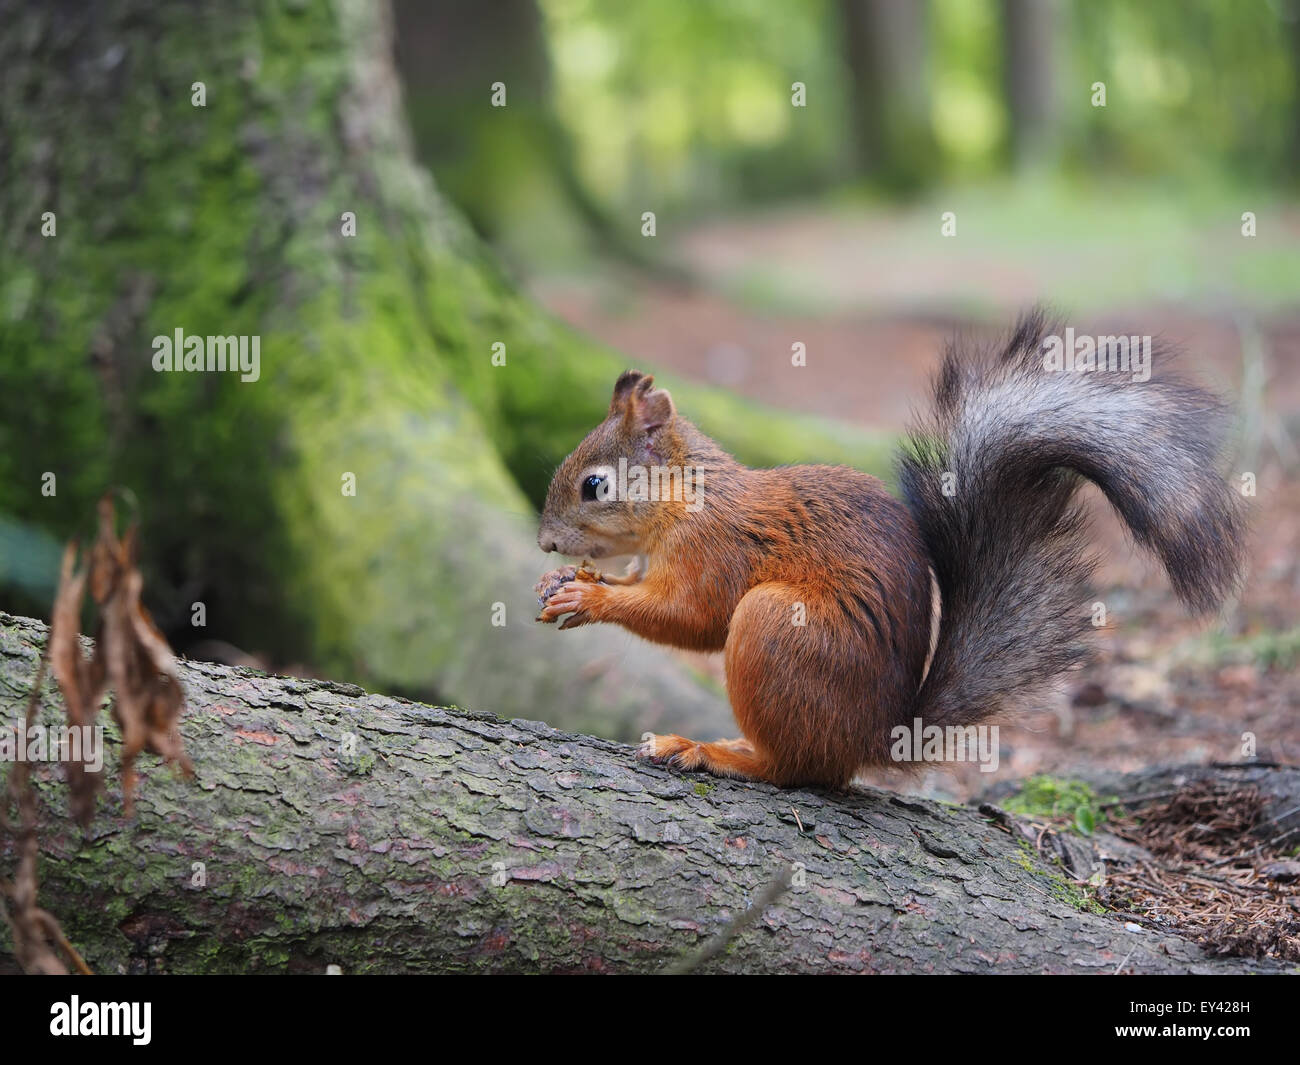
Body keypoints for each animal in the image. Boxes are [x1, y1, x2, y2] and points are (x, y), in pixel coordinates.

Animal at [535, 310, 1247, 788]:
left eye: (594, 486)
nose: (544, 542)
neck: (686, 499)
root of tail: (875, 737)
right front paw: (562, 585)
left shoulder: (715, 550)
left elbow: (694, 617)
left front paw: (589, 597)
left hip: (778, 628)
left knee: (797, 769)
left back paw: (713, 751)